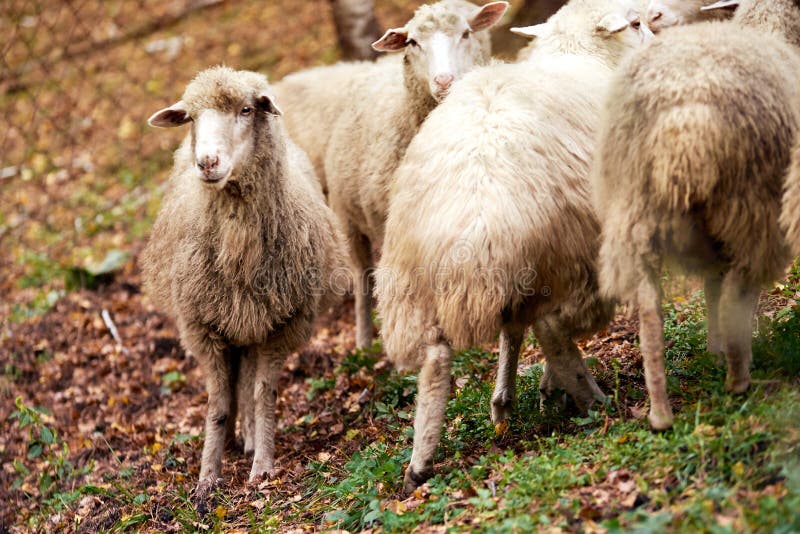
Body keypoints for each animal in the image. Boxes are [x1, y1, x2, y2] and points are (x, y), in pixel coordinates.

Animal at [141, 66, 347, 497]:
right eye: (190, 118)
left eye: (247, 109)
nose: (207, 162)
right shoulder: (202, 326)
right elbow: (217, 405)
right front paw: (206, 479)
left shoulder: (282, 324)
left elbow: (263, 394)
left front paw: (262, 467)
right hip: (234, 319)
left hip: (254, 320)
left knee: (249, 381)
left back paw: (251, 438)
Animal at [324, 0, 509, 350]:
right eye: (412, 42)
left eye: (467, 33)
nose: (444, 81)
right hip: (347, 218)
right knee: (362, 277)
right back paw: (365, 343)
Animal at [374, 0, 653, 493]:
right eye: (636, 23)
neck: (582, 56)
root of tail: (475, 224)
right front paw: (541, 392)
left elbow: (510, 332)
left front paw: (504, 400)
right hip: (568, 248)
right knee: (554, 326)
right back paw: (594, 401)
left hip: (412, 278)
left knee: (437, 359)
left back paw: (420, 463)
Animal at [593, 0, 800, 432]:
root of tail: (685, 117)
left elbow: (709, 288)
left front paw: (713, 349)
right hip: (751, 201)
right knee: (740, 288)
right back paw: (739, 378)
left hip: (633, 206)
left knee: (650, 309)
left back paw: (660, 414)